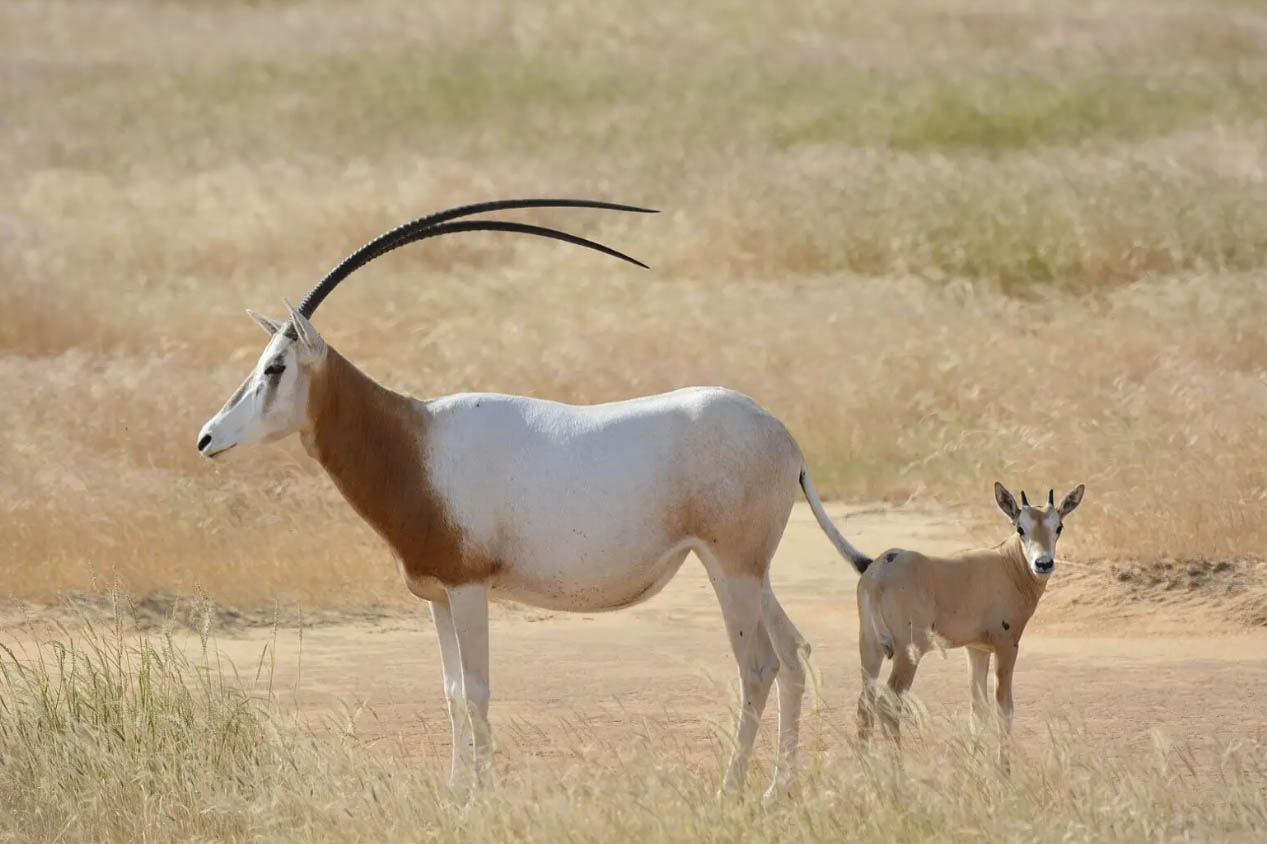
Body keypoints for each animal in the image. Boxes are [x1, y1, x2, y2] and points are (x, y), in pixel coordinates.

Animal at [195, 199, 872, 799]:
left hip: (730, 569)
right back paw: (777, 790)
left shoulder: (469, 589)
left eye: (276, 367)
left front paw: (481, 797)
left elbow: (477, 690)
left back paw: (729, 791)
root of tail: (784, 436)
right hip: (750, 571)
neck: (415, 440)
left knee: (757, 666)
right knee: (793, 653)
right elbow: (450, 692)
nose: (206, 439)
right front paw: (454, 791)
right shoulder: (437, 595)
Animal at [852, 482, 1084, 762]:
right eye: (1020, 528)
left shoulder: (976, 649)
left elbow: (978, 710)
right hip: (908, 654)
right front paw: (1003, 768)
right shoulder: (1006, 646)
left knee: (864, 704)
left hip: (870, 649)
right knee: (888, 703)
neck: (1007, 563)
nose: (1043, 563)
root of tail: (878, 574)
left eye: (1058, 526)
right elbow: (1004, 710)